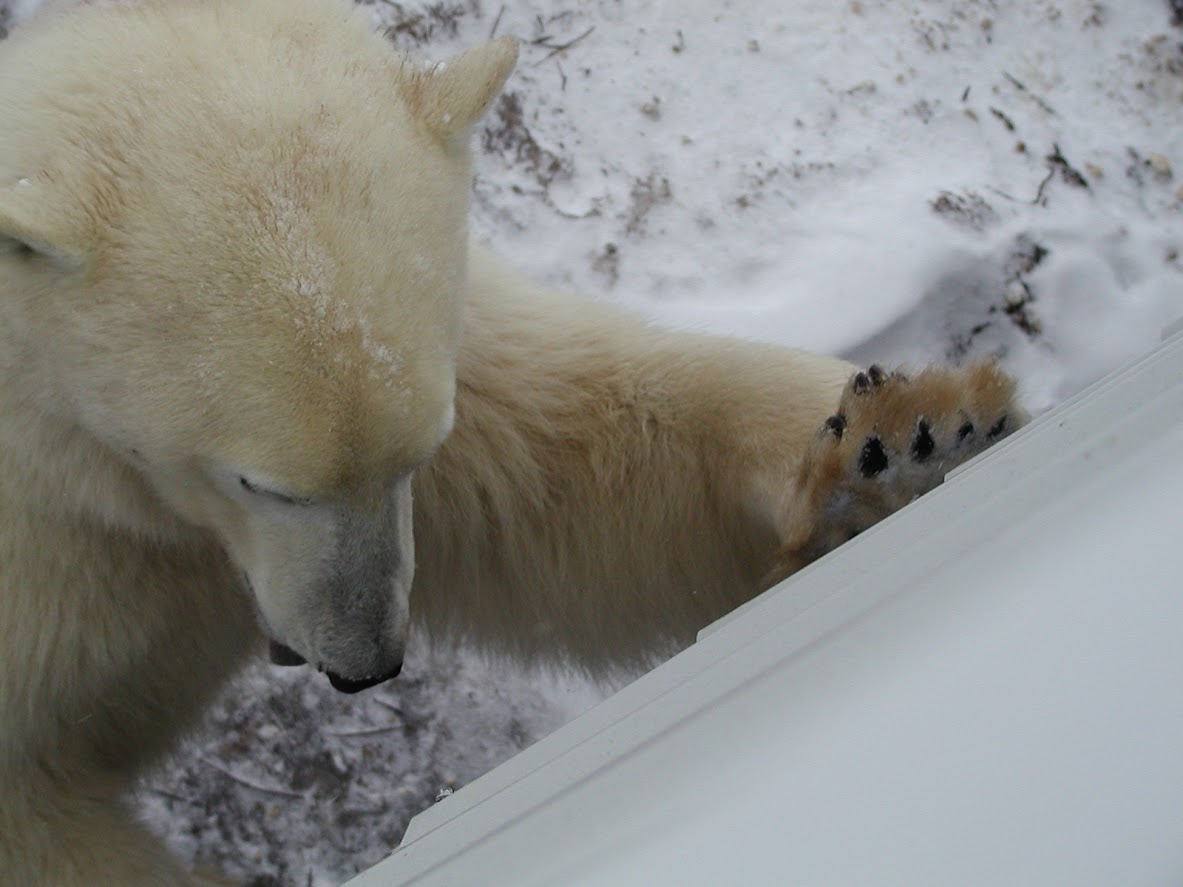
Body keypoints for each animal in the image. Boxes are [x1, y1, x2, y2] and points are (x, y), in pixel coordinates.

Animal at [0, 0, 1023, 883]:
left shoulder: (459, 370)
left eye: (417, 454)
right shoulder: (55, 565)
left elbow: (579, 478)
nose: (367, 664)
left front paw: (905, 445)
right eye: (265, 483)